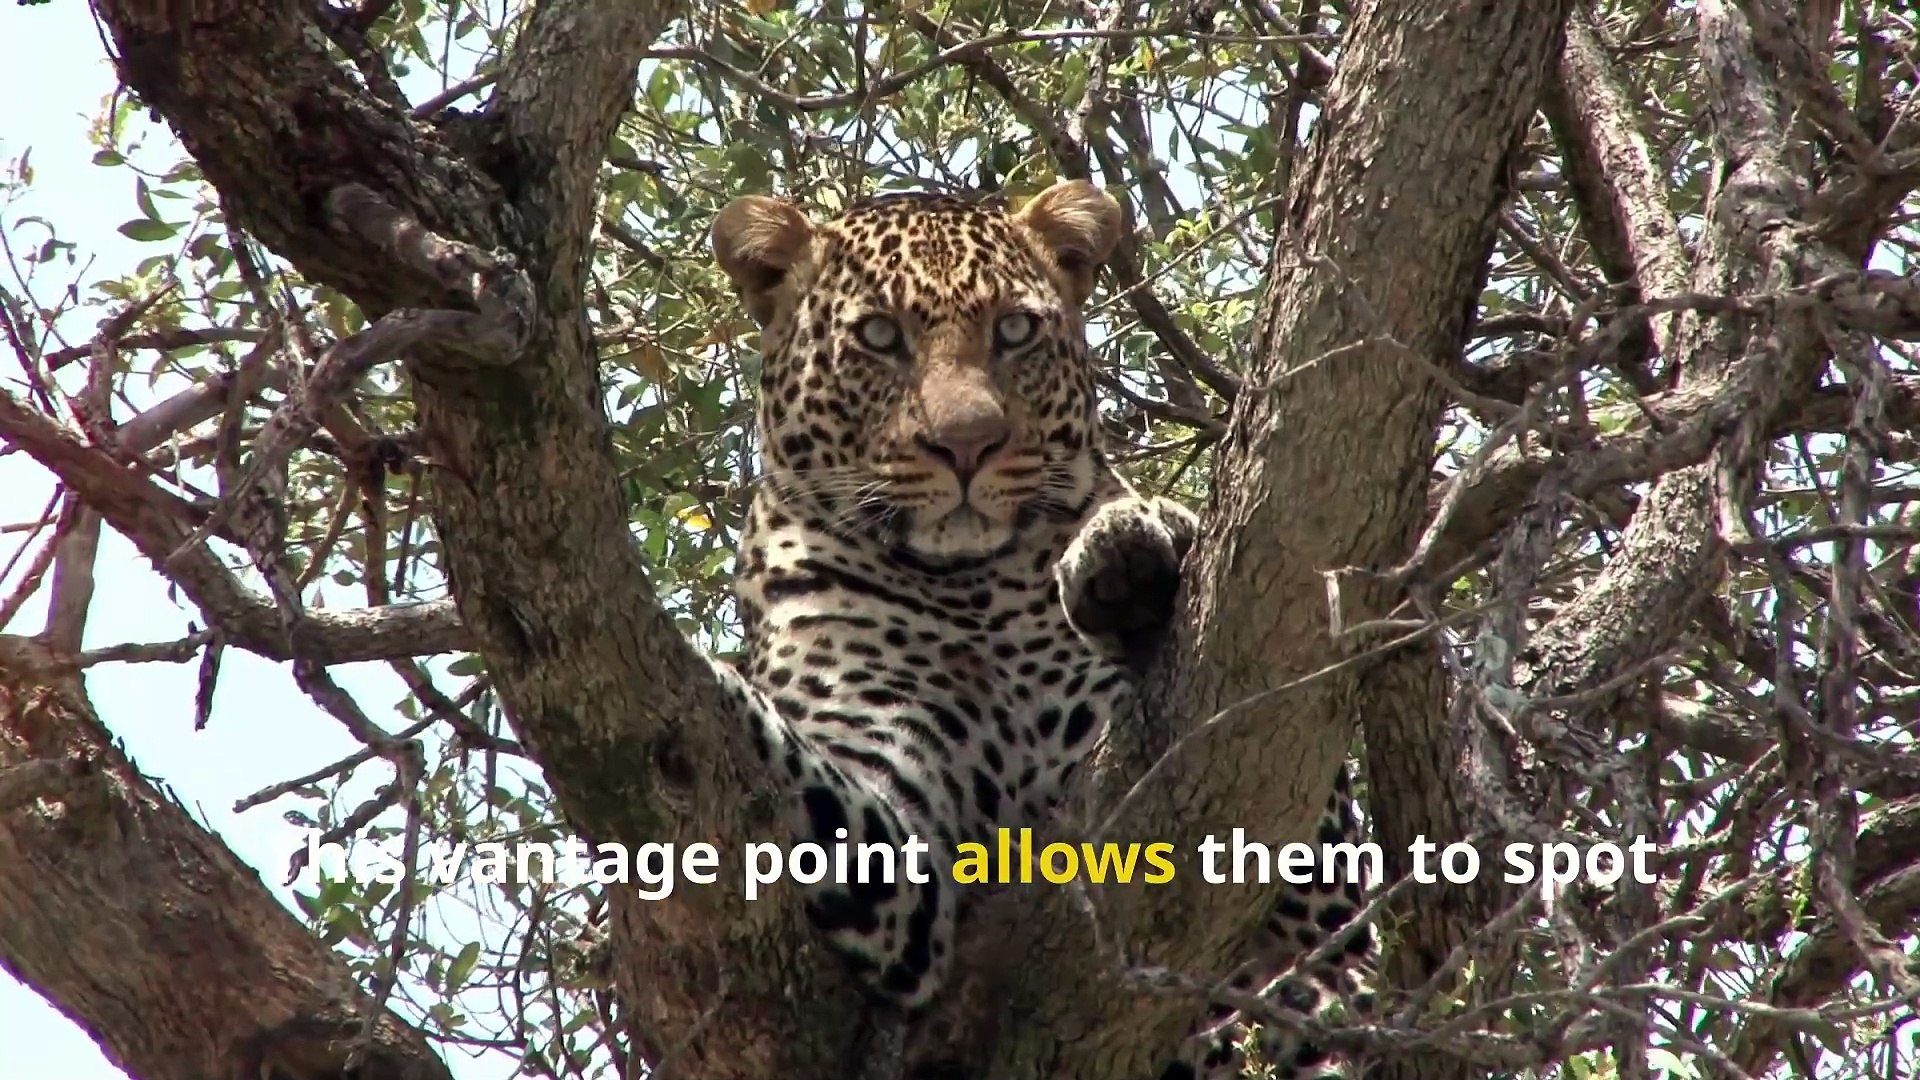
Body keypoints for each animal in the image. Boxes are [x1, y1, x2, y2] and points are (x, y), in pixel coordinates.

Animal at [705, 179, 1376, 1079]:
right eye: (879, 337)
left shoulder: (1314, 885)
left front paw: (1138, 546)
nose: (967, 445)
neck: (970, 589)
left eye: (1014, 330)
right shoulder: (904, 845)